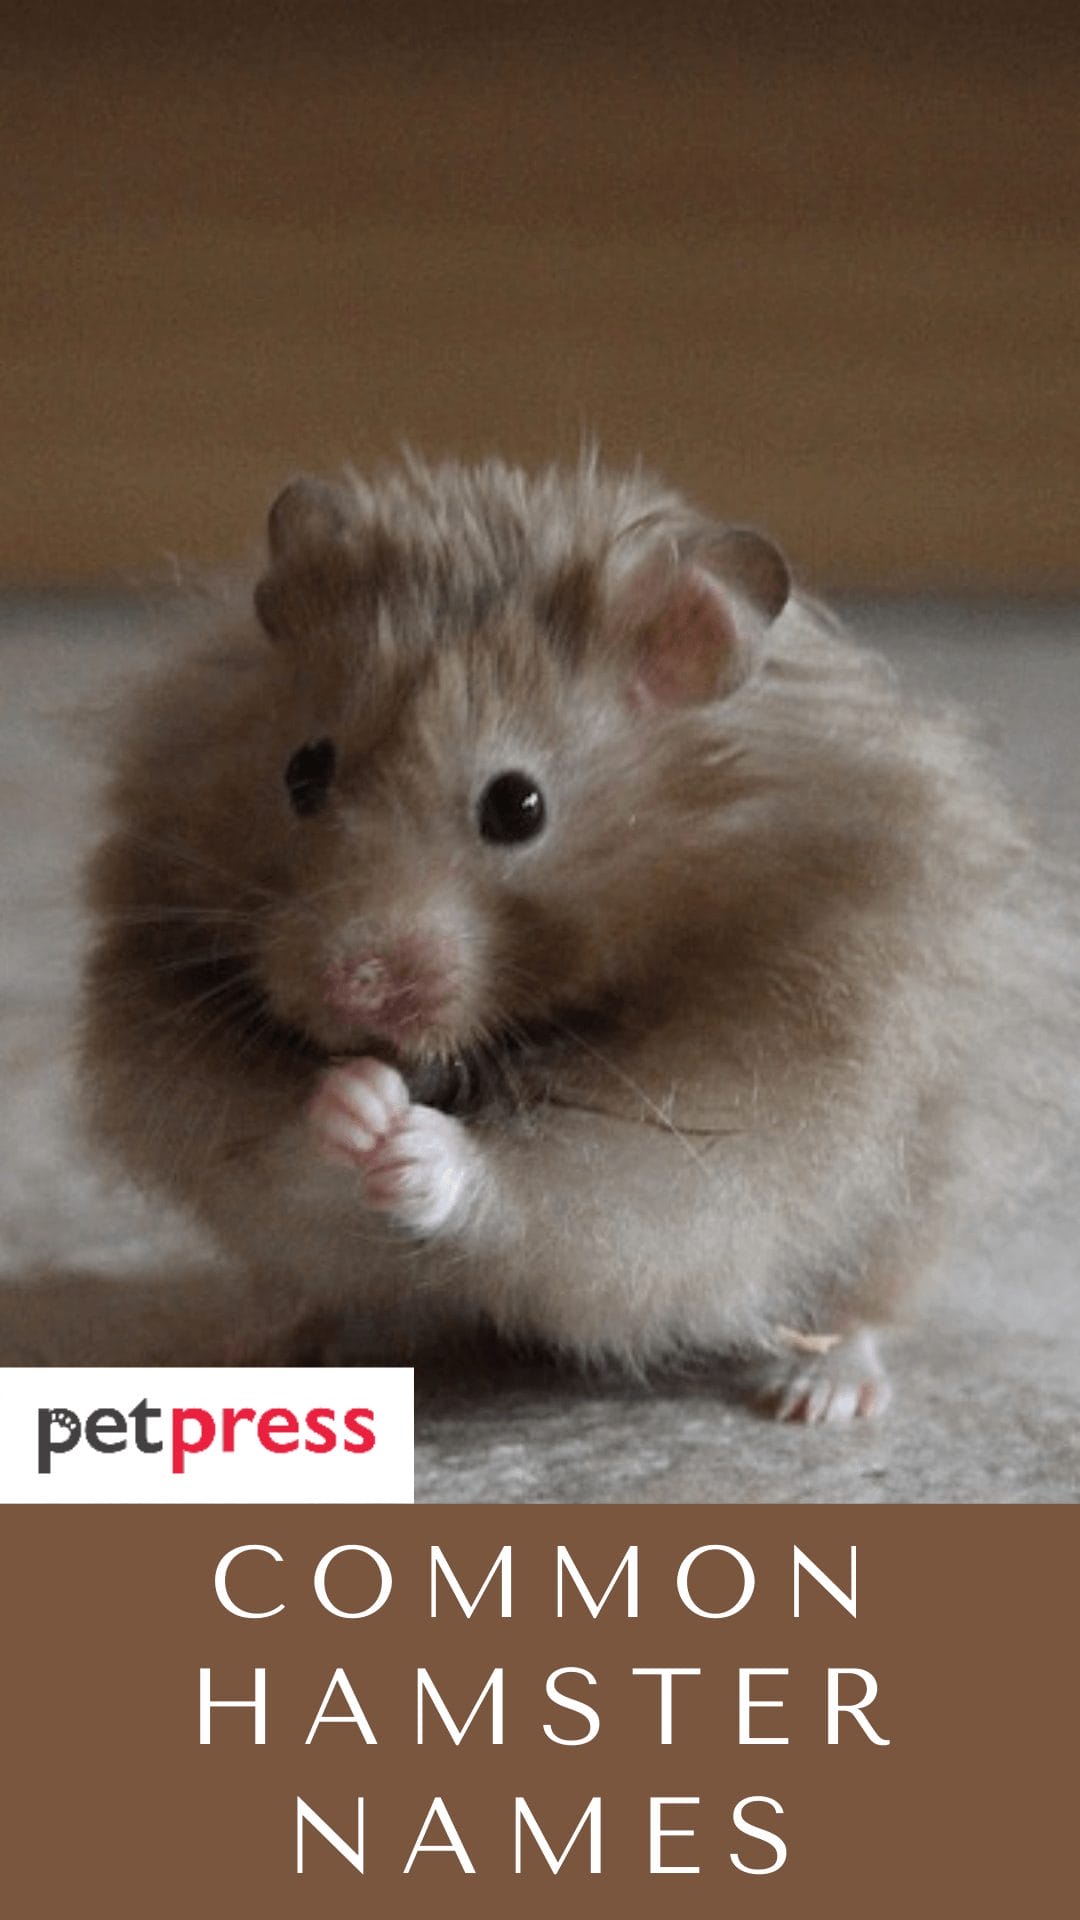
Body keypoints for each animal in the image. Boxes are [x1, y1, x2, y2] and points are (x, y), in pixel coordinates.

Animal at [78, 454, 1076, 1419]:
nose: (353, 984)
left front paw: (412, 1143)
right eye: (301, 772)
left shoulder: (706, 1135)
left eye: (519, 806)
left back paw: (817, 1398)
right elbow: (285, 1151)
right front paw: (352, 1102)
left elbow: (534, 1190)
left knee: (863, 1307)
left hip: (916, 1186)